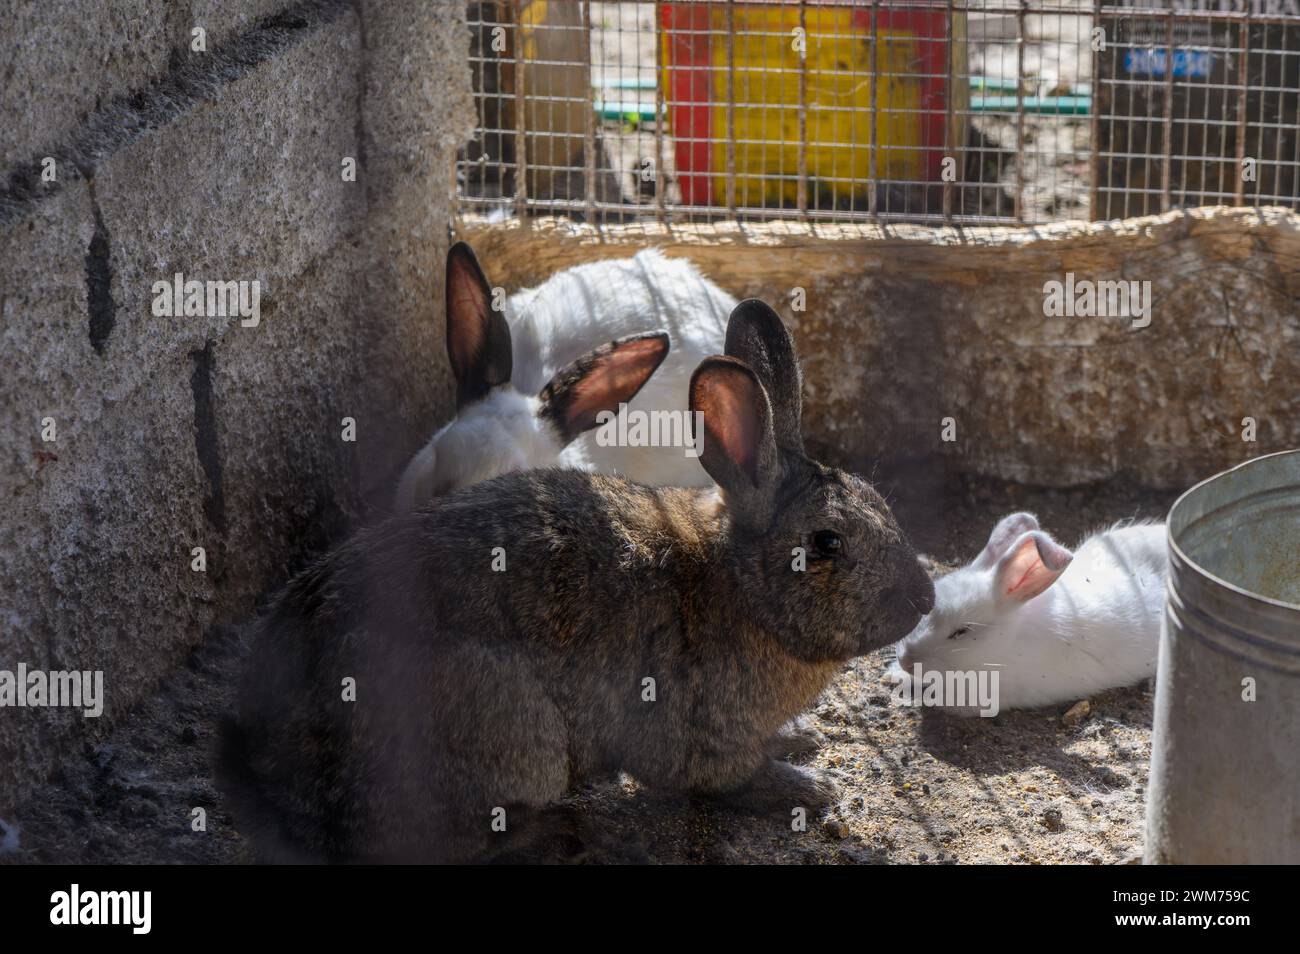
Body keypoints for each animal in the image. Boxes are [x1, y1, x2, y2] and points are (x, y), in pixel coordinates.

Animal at [220, 299, 935, 863]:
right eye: (826, 543)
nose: (924, 599)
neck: (736, 581)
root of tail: (265, 768)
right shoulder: (695, 738)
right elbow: (725, 778)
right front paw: (808, 787)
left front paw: (801, 739)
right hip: (510, 727)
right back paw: (566, 834)